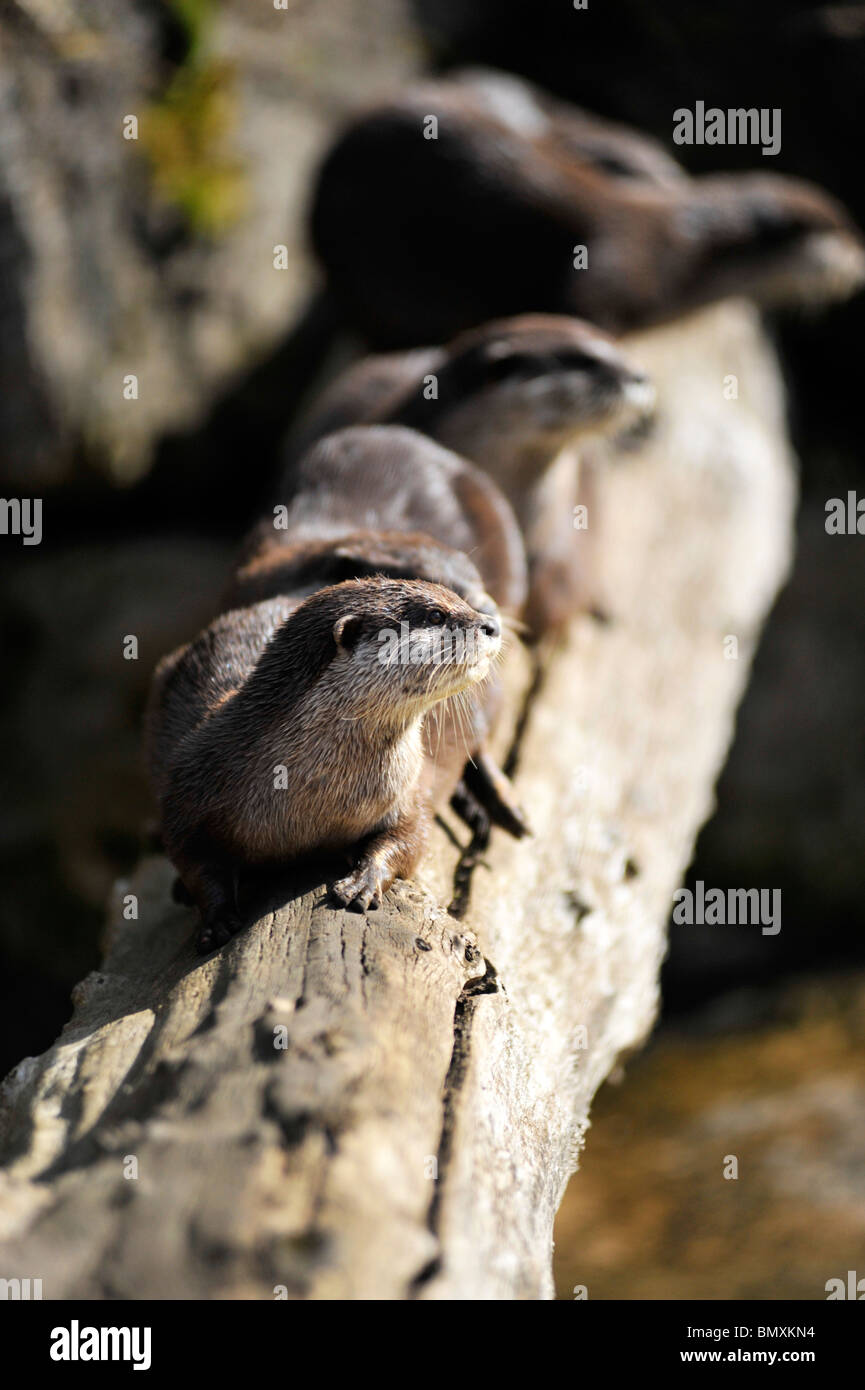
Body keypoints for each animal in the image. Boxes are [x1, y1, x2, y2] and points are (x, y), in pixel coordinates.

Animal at [146, 579, 502, 951]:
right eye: (436, 615)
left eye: (459, 600)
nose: (492, 624)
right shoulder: (190, 780)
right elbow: (192, 856)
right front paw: (215, 918)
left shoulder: (408, 789)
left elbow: (411, 837)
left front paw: (363, 880)